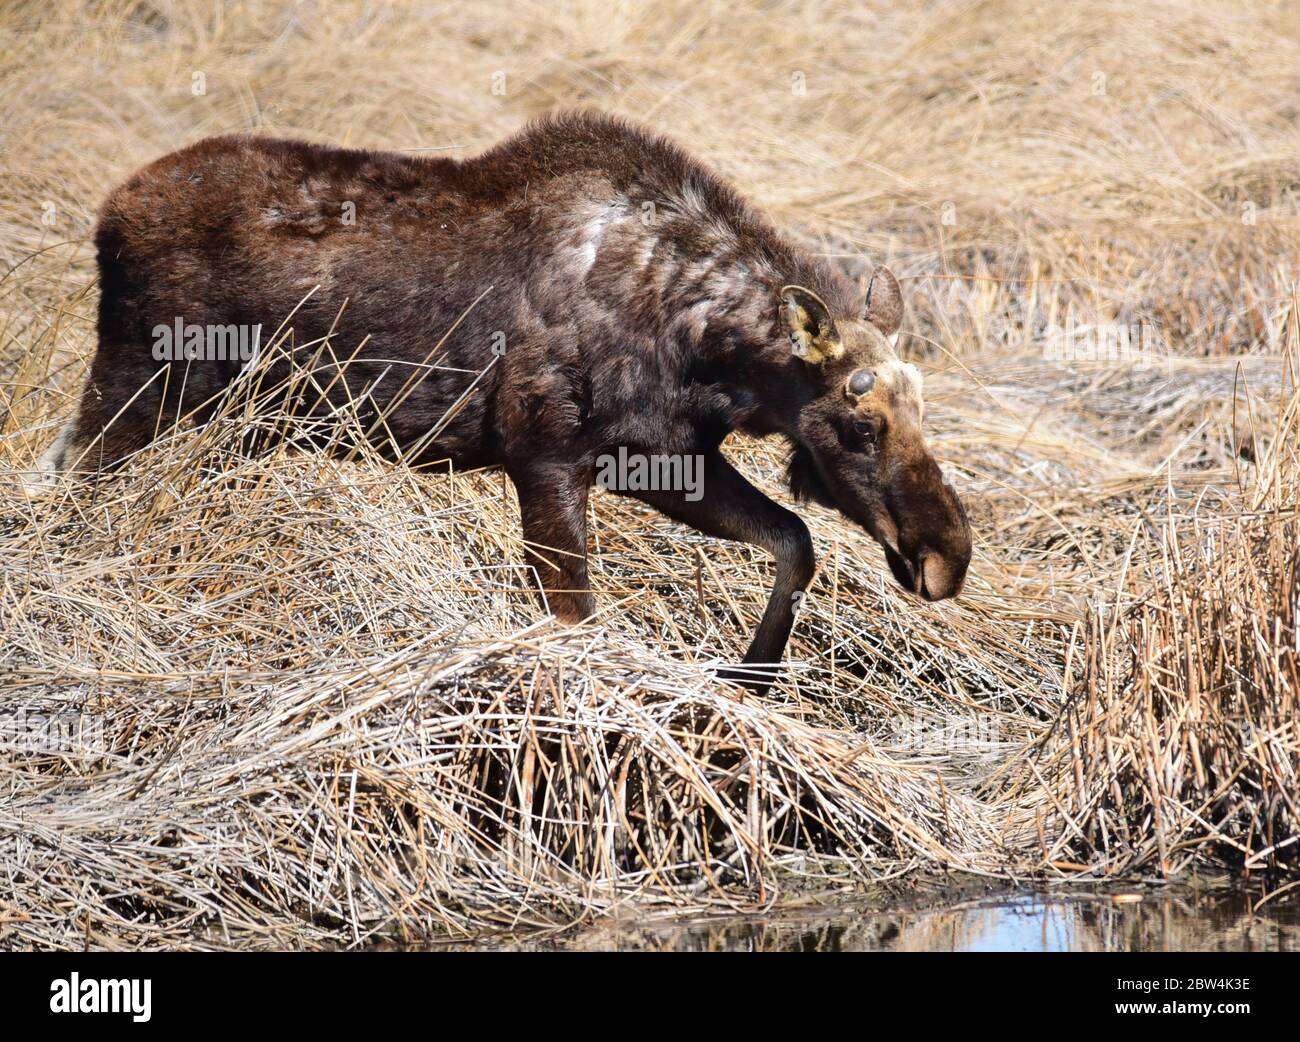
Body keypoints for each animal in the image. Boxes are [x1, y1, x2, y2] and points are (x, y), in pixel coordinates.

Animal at [30, 111, 972, 689]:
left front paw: (756, 673)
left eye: (924, 413)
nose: (946, 557)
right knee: (61, 489)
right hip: (138, 389)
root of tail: (106, 218)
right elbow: (579, 619)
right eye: (857, 424)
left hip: (221, 425)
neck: (708, 350)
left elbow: (793, 541)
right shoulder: (546, 458)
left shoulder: (660, 459)